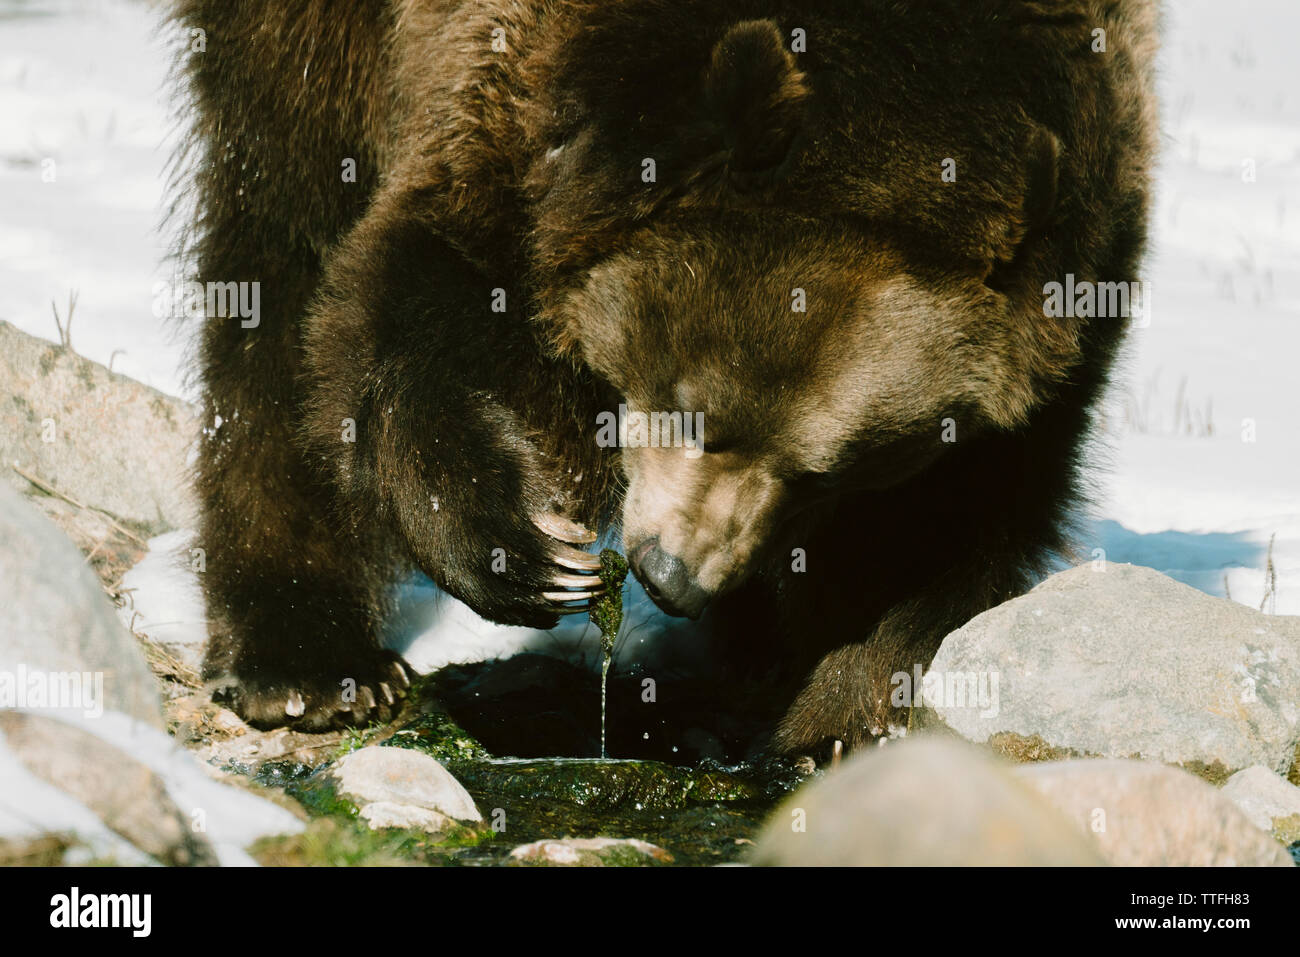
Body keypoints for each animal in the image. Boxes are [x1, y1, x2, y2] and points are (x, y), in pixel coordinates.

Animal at [170, 0, 1157, 755]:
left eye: (826, 471)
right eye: (691, 413)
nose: (673, 574)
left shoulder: (1063, 291)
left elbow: (953, 518)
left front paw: (839, 714)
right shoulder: (527, 96)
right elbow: (426, 294)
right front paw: (533, 552)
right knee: (283, 205)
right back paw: (304, 661)